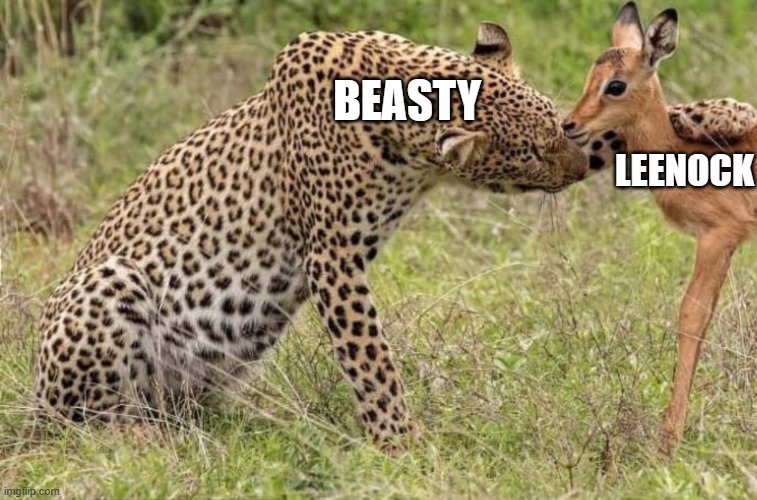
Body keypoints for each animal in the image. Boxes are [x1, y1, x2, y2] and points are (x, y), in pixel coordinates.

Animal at [32, 22, 589, 452]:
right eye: (530, 154)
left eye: (555, 121)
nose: (584, 167)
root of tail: (33, 406)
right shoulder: (332, 257)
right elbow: (371, 359)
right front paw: (401, 444)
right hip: (110, 282)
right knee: (86, 424)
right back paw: (140, 437)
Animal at [562, 1, 757, 456]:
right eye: (591, 75)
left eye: (615, 85)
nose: (570, 124)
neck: (681, 152)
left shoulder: (718, 237)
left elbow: (691, 317)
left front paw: (668, 439)